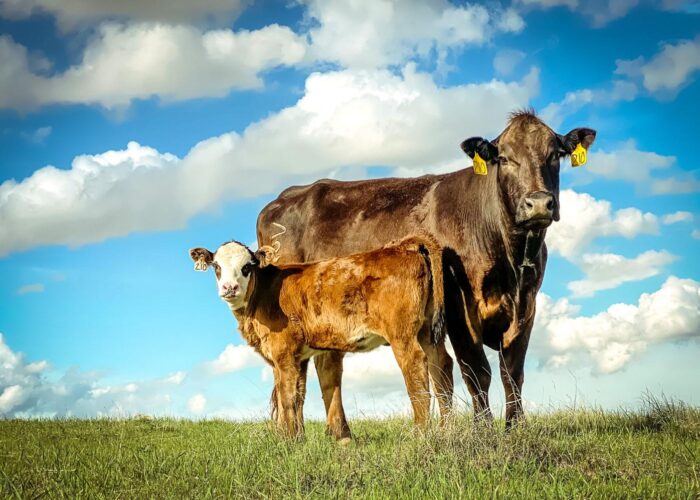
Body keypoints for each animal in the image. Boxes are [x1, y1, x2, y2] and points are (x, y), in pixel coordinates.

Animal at [189, 236, 454, 438]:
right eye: (216, 267)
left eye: (247, 267)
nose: (229, 288)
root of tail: (405, 244)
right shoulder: (299, 356)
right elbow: (298, 396)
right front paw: (297, 439)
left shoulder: (283, 352)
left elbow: (286, 397)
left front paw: (288, 442)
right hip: (428, 331)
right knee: (442, 367)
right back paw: (446, 432)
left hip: (402, 334)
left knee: (416, 371)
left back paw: (420, 436)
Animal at [257, 109, 596, 435]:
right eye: (503, 158)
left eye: (555, 155)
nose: (538, 204)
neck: (509, 261)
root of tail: (283, 198)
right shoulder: (461, 307)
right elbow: (477, 371)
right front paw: (484, 431)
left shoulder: (527, 304)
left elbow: (511, 371)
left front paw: (515, 429)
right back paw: (296, 434)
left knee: (326, 362)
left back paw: (338, 435)